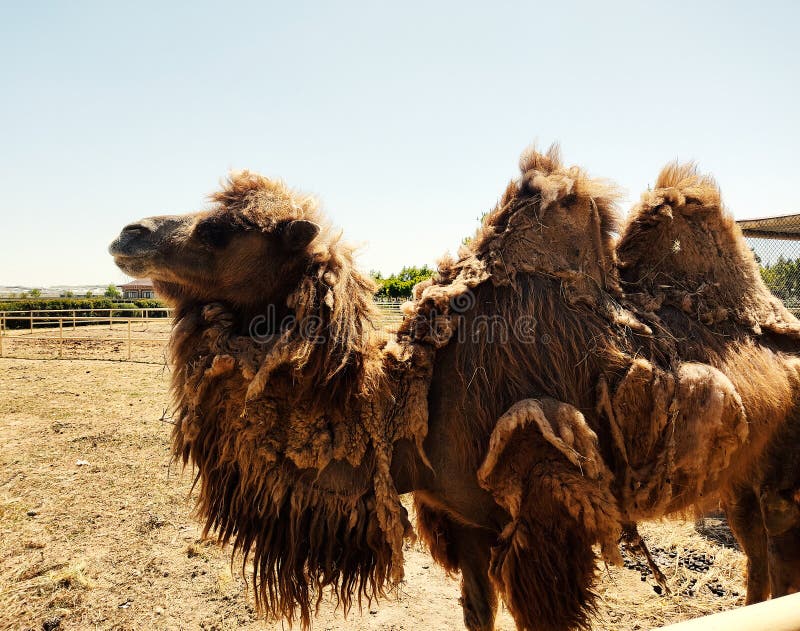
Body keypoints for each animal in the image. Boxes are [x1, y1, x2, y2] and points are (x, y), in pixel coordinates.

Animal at [109, 149, 800, 631]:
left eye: (222, 230)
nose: (128, 233)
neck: (402, 408)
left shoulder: (546, 514)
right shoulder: (465, 522)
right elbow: (476, 614)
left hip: (782, 480)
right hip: (745, 483)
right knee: (760, 560)